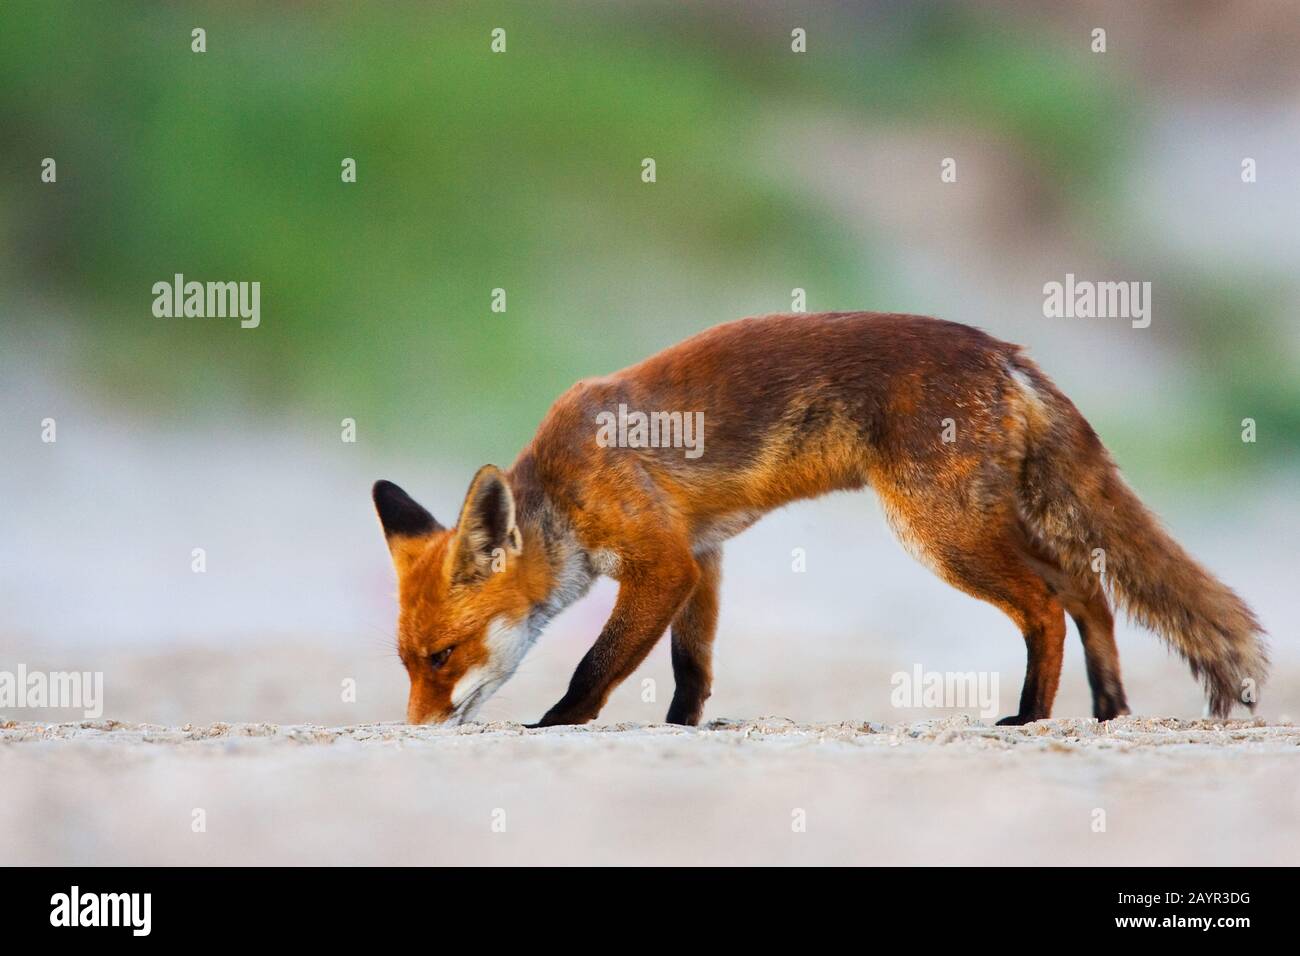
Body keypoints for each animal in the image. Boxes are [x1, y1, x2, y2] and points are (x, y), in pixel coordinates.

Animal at [373, 312, 1267, 727]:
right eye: (407, 662)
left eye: (442, 655)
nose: (416, 731)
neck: (561, 485)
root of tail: (1003, 350)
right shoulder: (702, 557)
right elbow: (693, 667)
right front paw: (683, 728)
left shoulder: (662, 562)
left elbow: (596, 665)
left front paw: (559, 724)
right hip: (992, 522)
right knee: (1090, 586)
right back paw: (1108, 708)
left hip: (943, 534)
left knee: (1049, 603)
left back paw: (1031, 715)